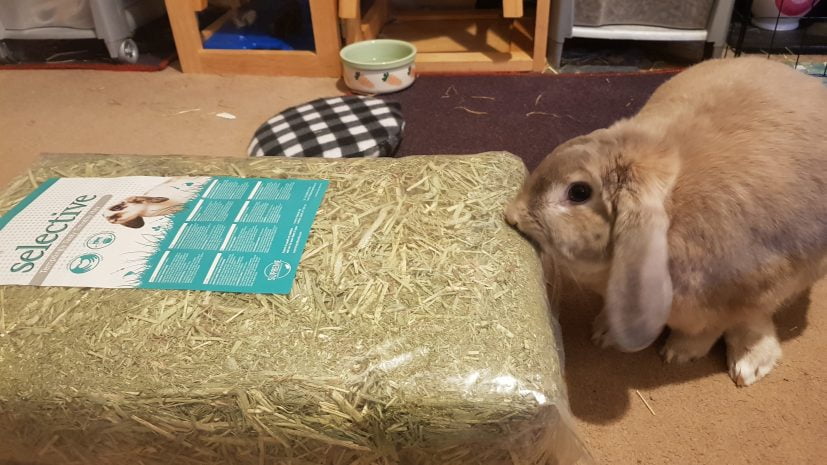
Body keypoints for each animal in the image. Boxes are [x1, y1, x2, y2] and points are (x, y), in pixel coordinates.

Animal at [504, 57, 827, 387]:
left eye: (578, 192)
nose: (512, 215)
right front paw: (605, 333)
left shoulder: (732, 298)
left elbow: (709, 329)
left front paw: (679, 354)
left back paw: (748, 364)